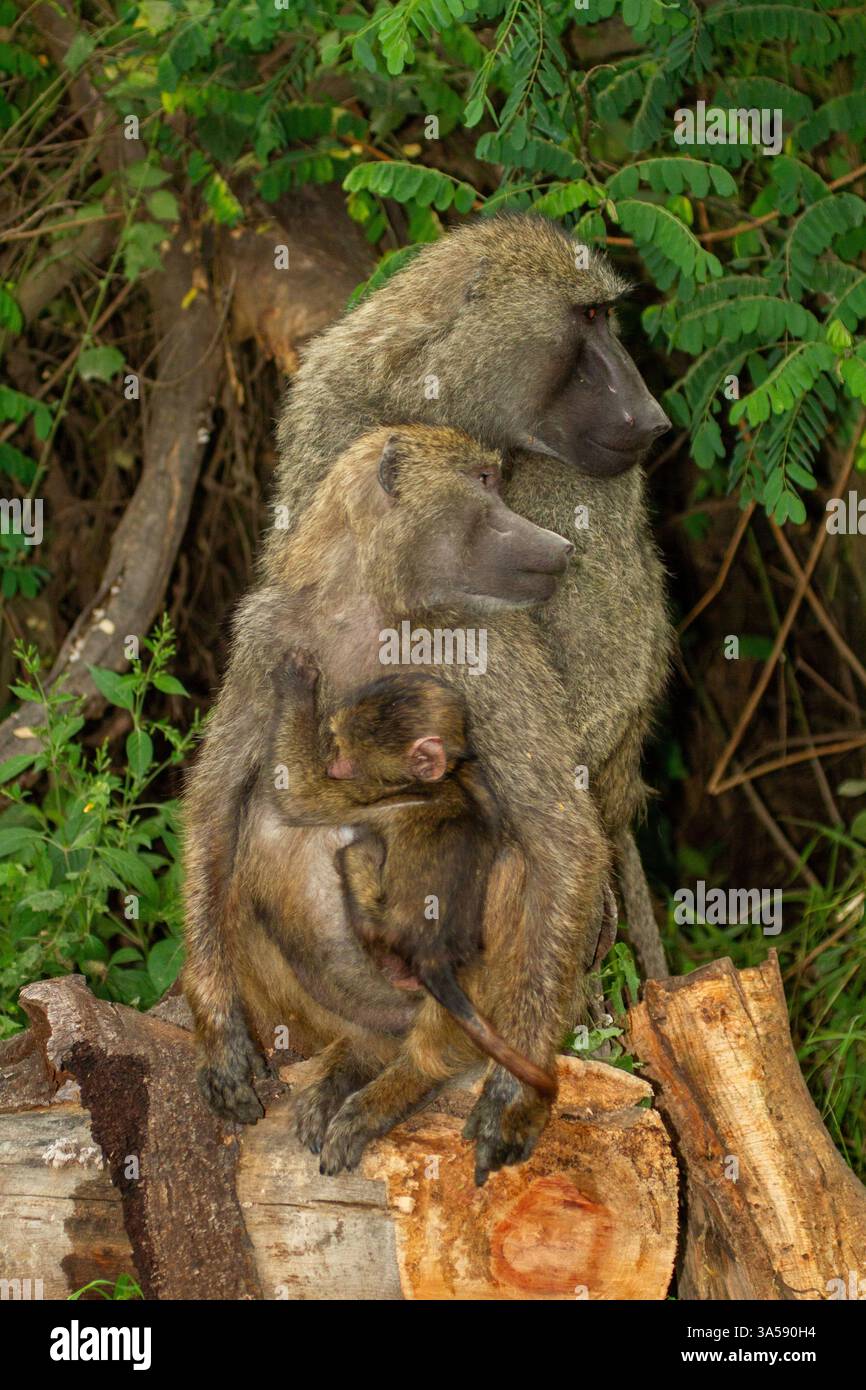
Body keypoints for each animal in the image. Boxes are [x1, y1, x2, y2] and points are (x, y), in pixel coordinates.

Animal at [268, 657, 558, 1100]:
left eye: (345, 753)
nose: (333, 765)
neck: (441, 780)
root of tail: (433, 952)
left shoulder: (376, 794)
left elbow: (299, 797)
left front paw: (296, 685)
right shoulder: (473, 778)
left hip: (383, 926)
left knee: (357, 851)